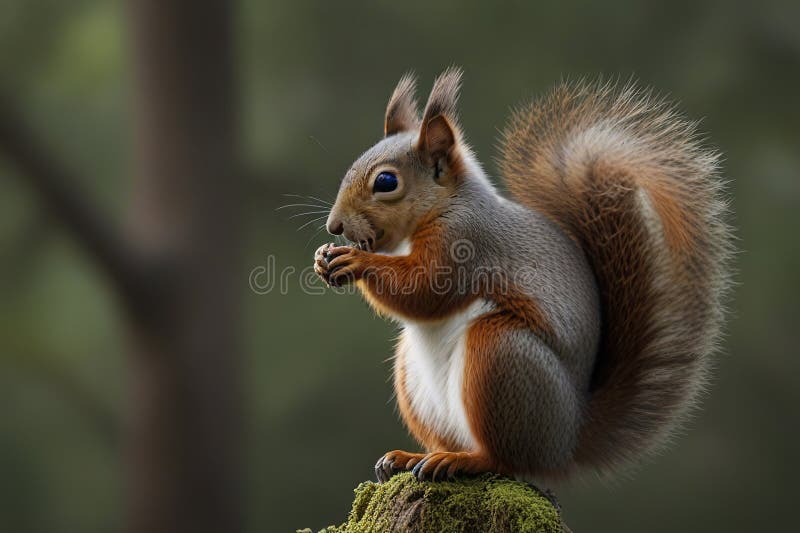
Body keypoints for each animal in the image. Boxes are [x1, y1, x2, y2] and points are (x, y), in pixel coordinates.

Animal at [313, 67, 732, 483]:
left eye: (386, 182)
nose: (335, 227)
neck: (442, 206)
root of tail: (567, 441)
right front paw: (322, 259)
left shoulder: (465, 241)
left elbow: (425, 288)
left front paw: (354, 262)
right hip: (415, 378)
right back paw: (412, 457)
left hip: (502, 353)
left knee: (507, 460)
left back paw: (464, 461)